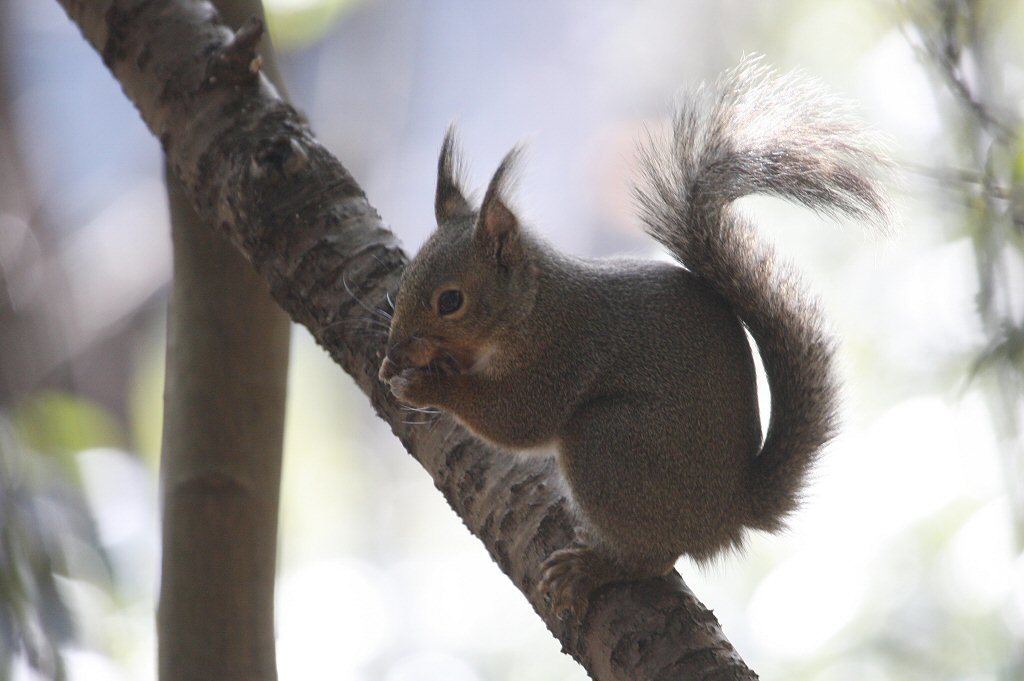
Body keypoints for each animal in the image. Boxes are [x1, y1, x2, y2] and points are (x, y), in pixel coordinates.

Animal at [378, 56, 892, 618]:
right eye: (405, 279)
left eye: (450, 301)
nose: (396, 349)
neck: (532, 306)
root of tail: (729, 513)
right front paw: (400, 367)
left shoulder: (558, 357)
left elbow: (516, 421)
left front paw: (428, 385)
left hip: (607, 445)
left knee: (655, 556)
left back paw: (596, 568)